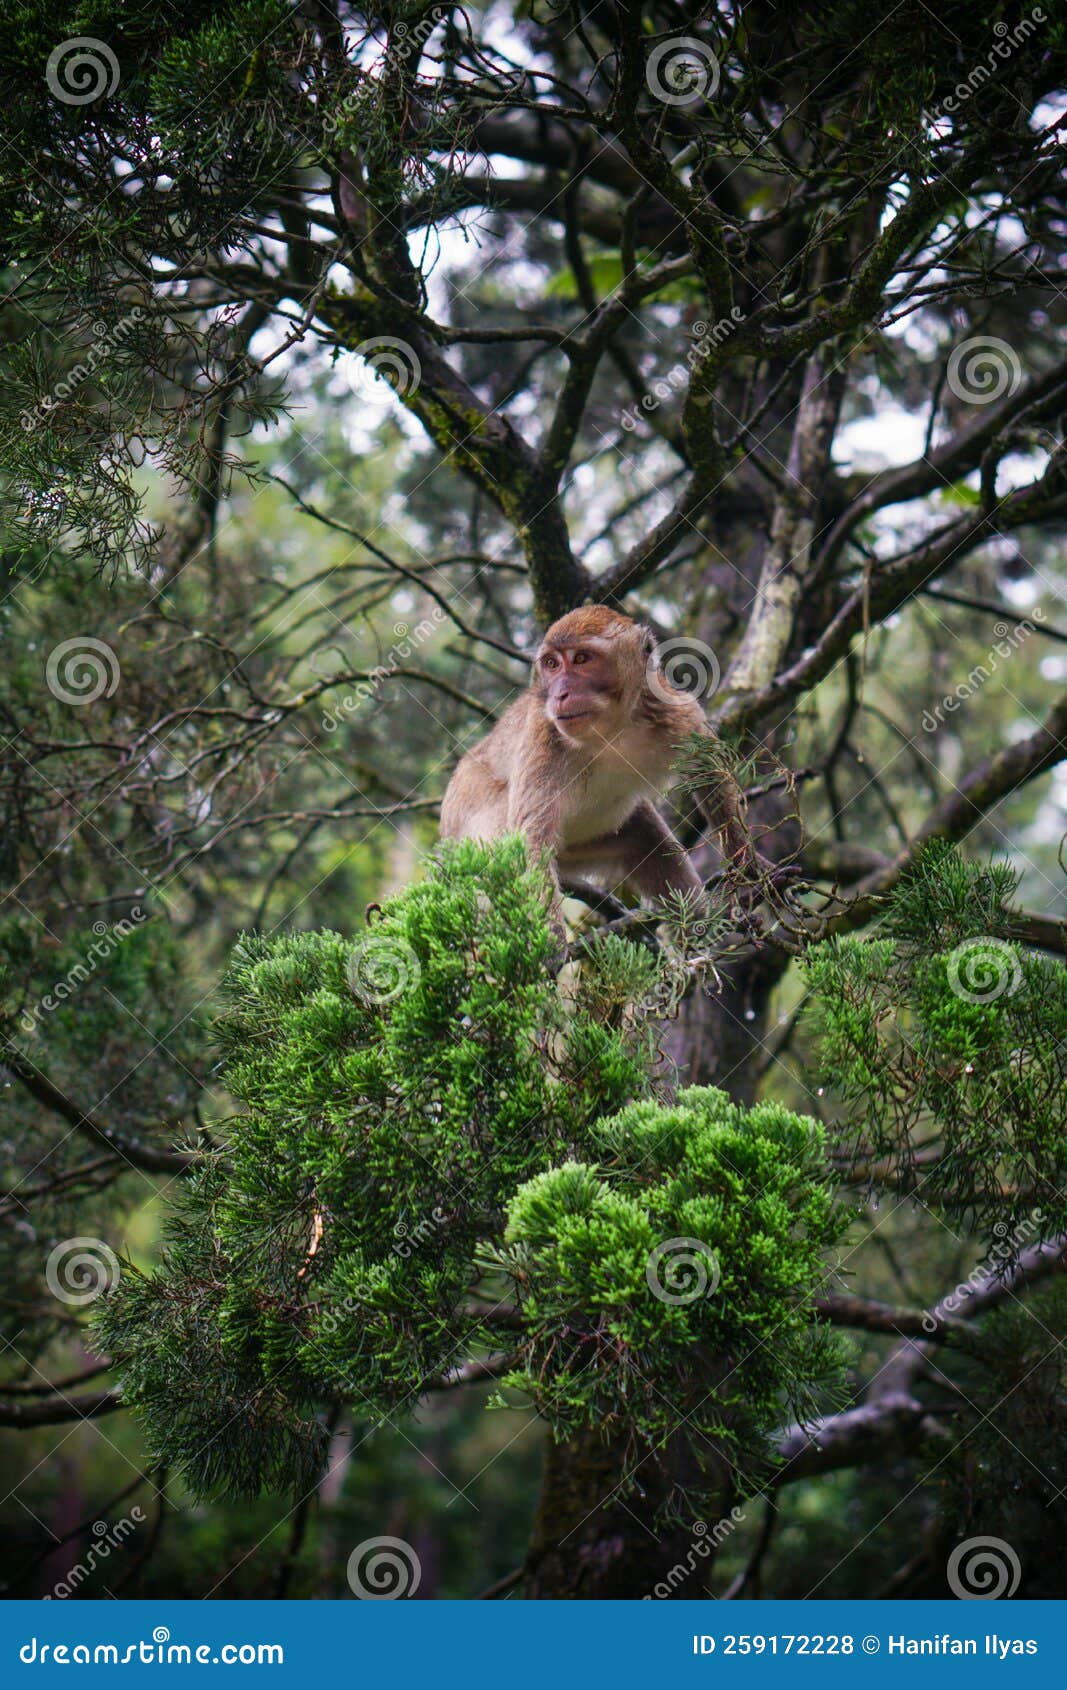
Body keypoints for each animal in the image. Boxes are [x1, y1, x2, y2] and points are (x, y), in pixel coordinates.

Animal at [440, 607, 715, 916]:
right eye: (552, 664)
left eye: (582, 659)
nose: (560, 694)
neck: (608, 733)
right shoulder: (542, 736)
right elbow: (530, 845)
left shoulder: (673, 712)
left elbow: (711, 770)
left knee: (647, 838)